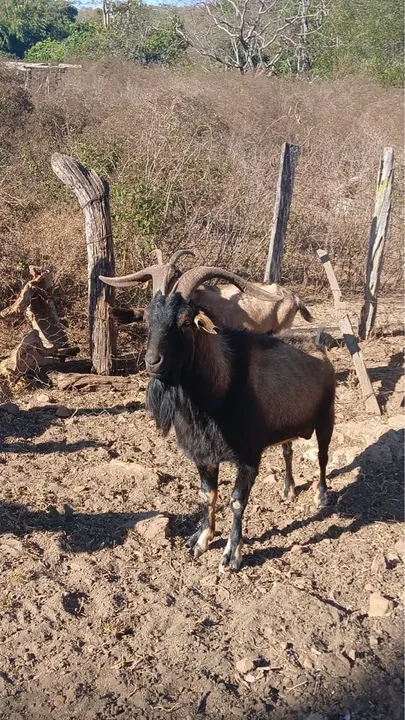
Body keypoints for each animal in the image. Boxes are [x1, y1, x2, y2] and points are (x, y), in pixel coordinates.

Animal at [100, 265, 335, 571]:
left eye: (186, 321)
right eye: (147, 317)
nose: (153, 362)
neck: (216, 394)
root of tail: (320, 346)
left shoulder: (248, 457)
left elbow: (236, 501)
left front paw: (232, 555)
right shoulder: (204, 456)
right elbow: (207, 495)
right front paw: (201, 540)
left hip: (326, 418)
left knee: (322, 457)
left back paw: (321, 495)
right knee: (288, 450)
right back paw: (288, 490)